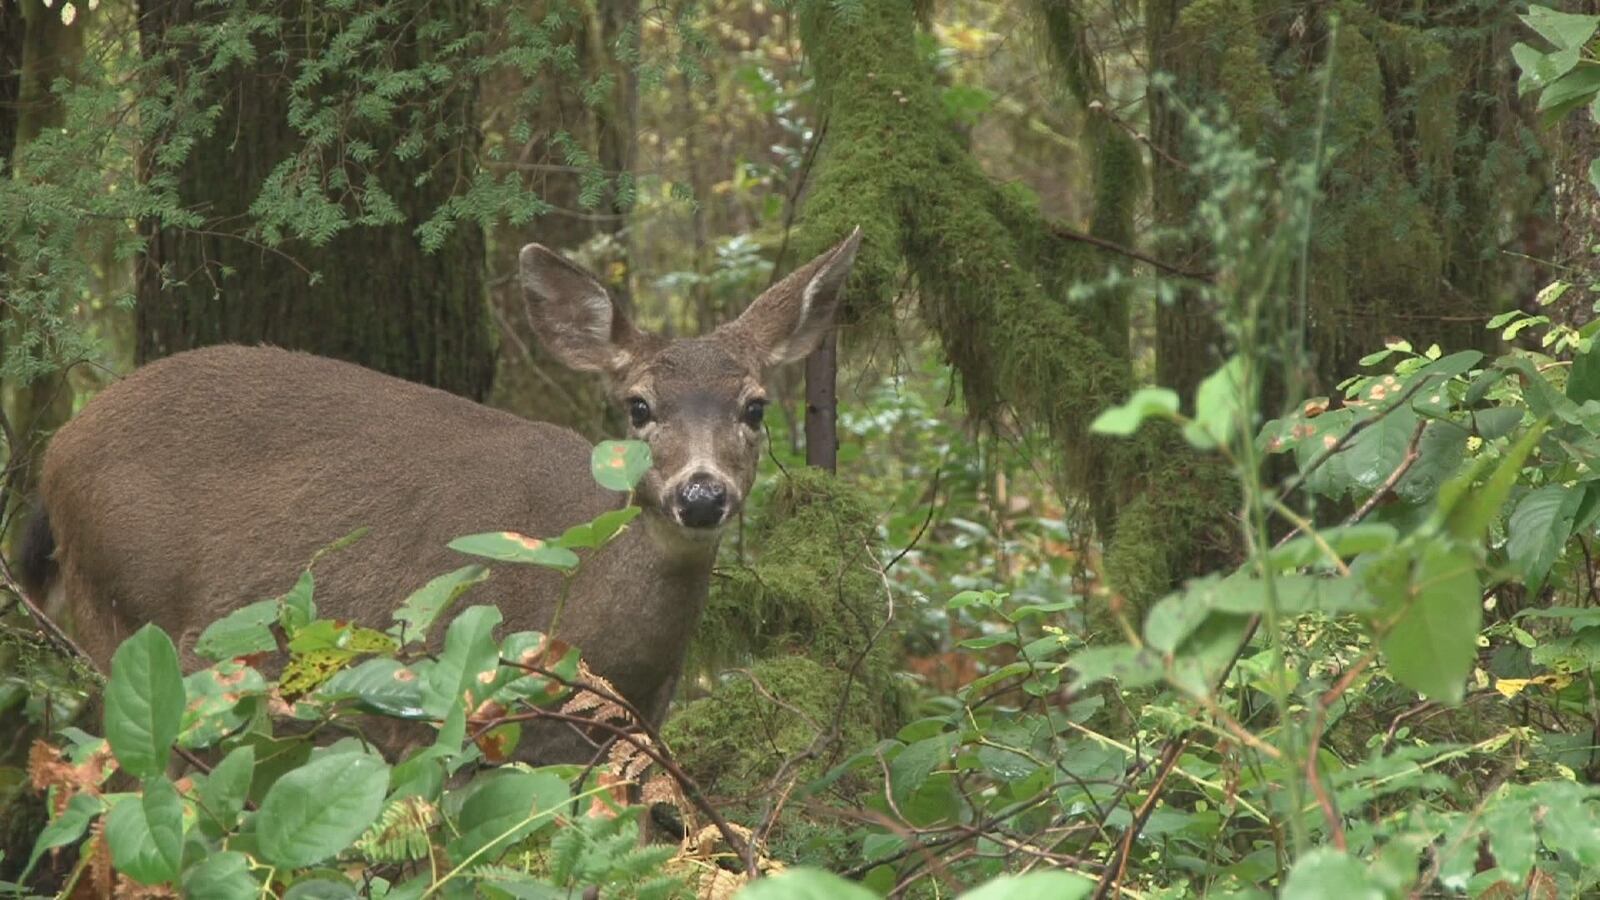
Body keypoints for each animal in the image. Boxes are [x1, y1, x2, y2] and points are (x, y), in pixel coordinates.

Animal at [15, 228, 862, 766]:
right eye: (638, 406)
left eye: (755, 407)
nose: (702, 494)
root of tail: (55, 454)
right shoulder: (437, 714)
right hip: (131, 617)